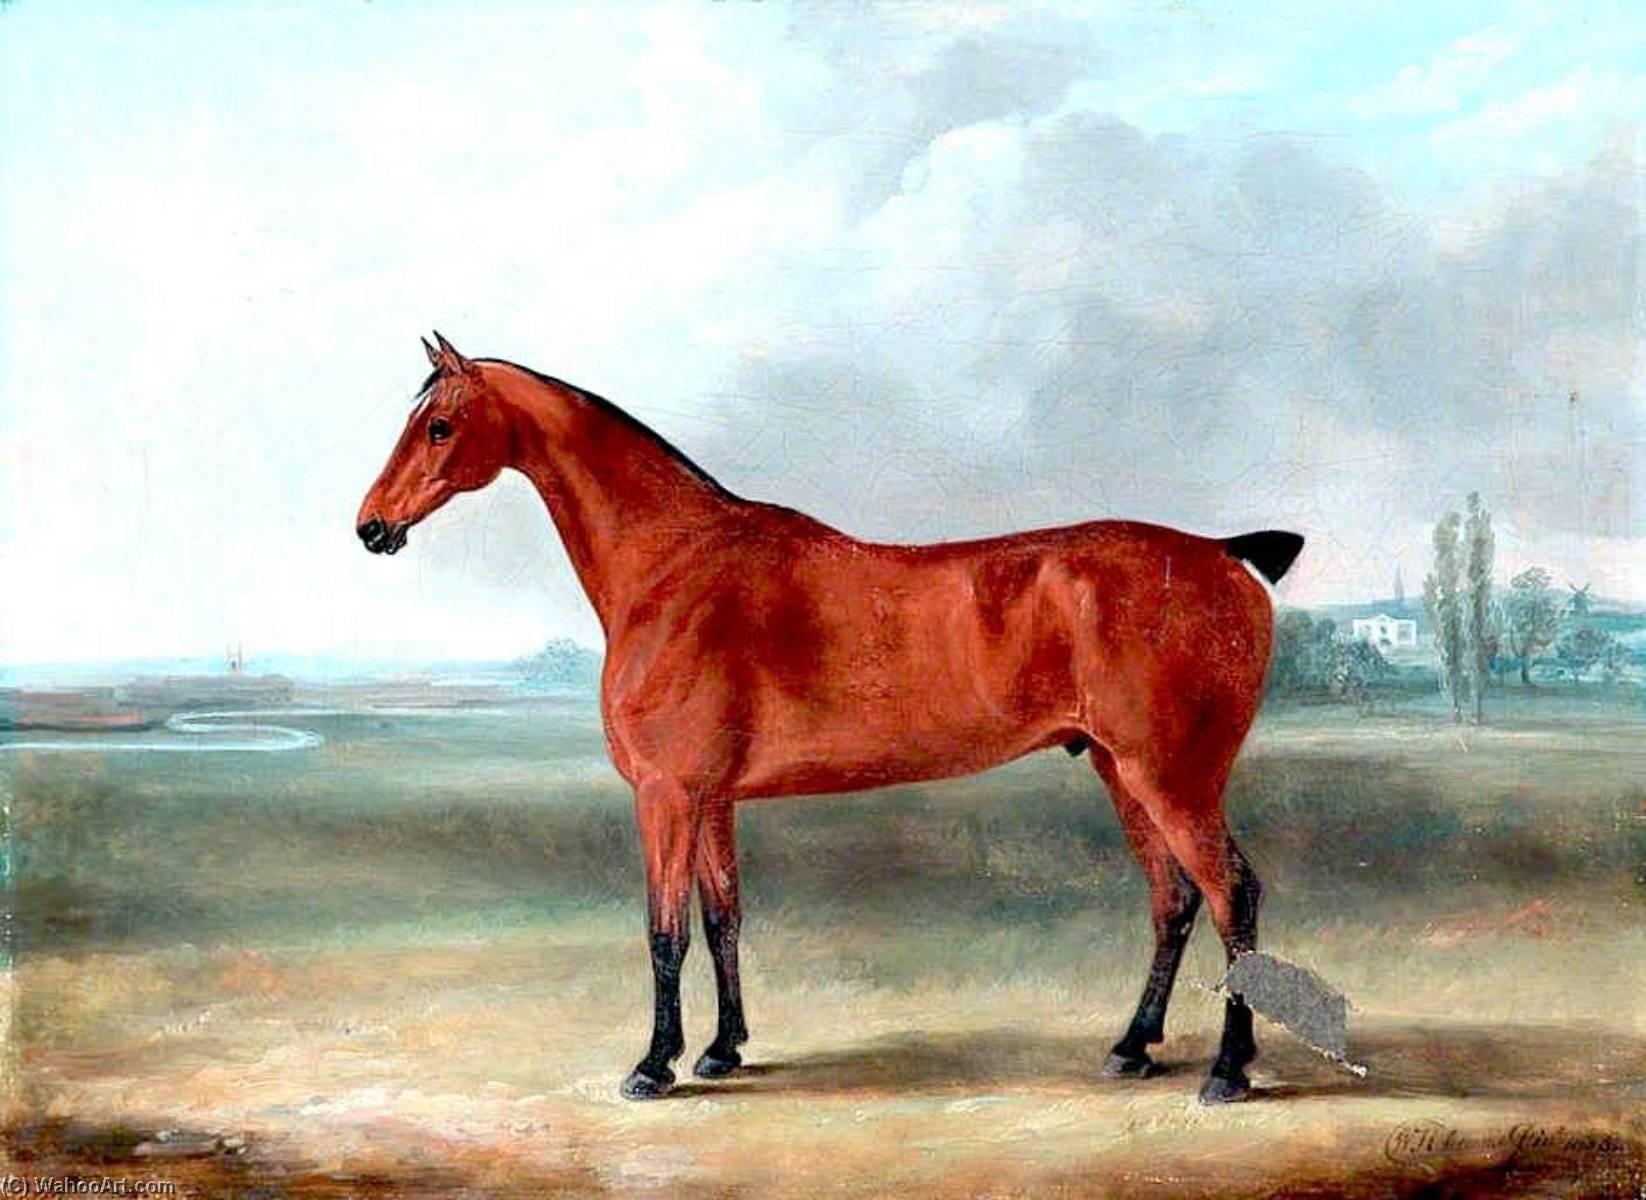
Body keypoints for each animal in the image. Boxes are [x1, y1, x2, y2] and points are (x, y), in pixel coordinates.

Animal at [356, 333, 1304, 1104]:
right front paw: (722, 1051)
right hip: (1121, 772)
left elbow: (665, 931)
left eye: (439, 426)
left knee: (1232, 893)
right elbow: (722, 918)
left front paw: (654, 1065)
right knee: (1174, 899)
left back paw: (1228, 1072)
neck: (673, 567)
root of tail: (1224, 556)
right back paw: (1132, 1048)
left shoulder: (665, 794)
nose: (371, 528)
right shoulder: (712, 798)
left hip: (1172, 778)